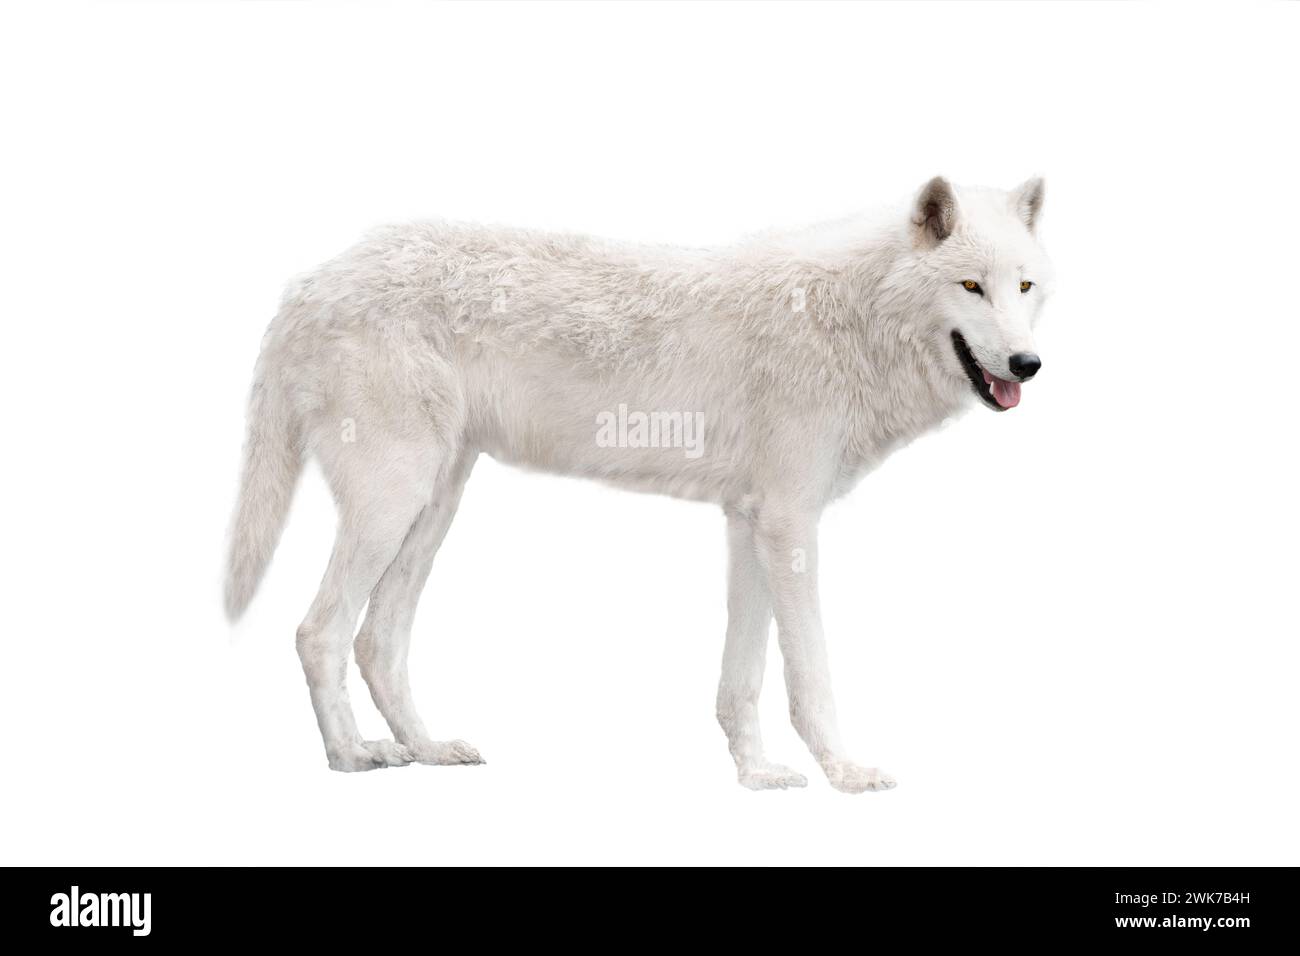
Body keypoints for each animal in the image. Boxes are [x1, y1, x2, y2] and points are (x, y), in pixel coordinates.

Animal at [224, 176, 1052, 791]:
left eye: (1024, 287)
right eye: (970, 286)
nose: (1027, 364)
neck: (847, 319)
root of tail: (310, 280)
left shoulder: (751, 522)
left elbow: (741, 678)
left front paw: (756, 774)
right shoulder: (790, 523)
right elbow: (811, 675)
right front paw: (845, 773)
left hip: (433, 505)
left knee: (378, 641)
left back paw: (427, 749)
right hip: (392, 503)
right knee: (319, 631)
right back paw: (351, 757)